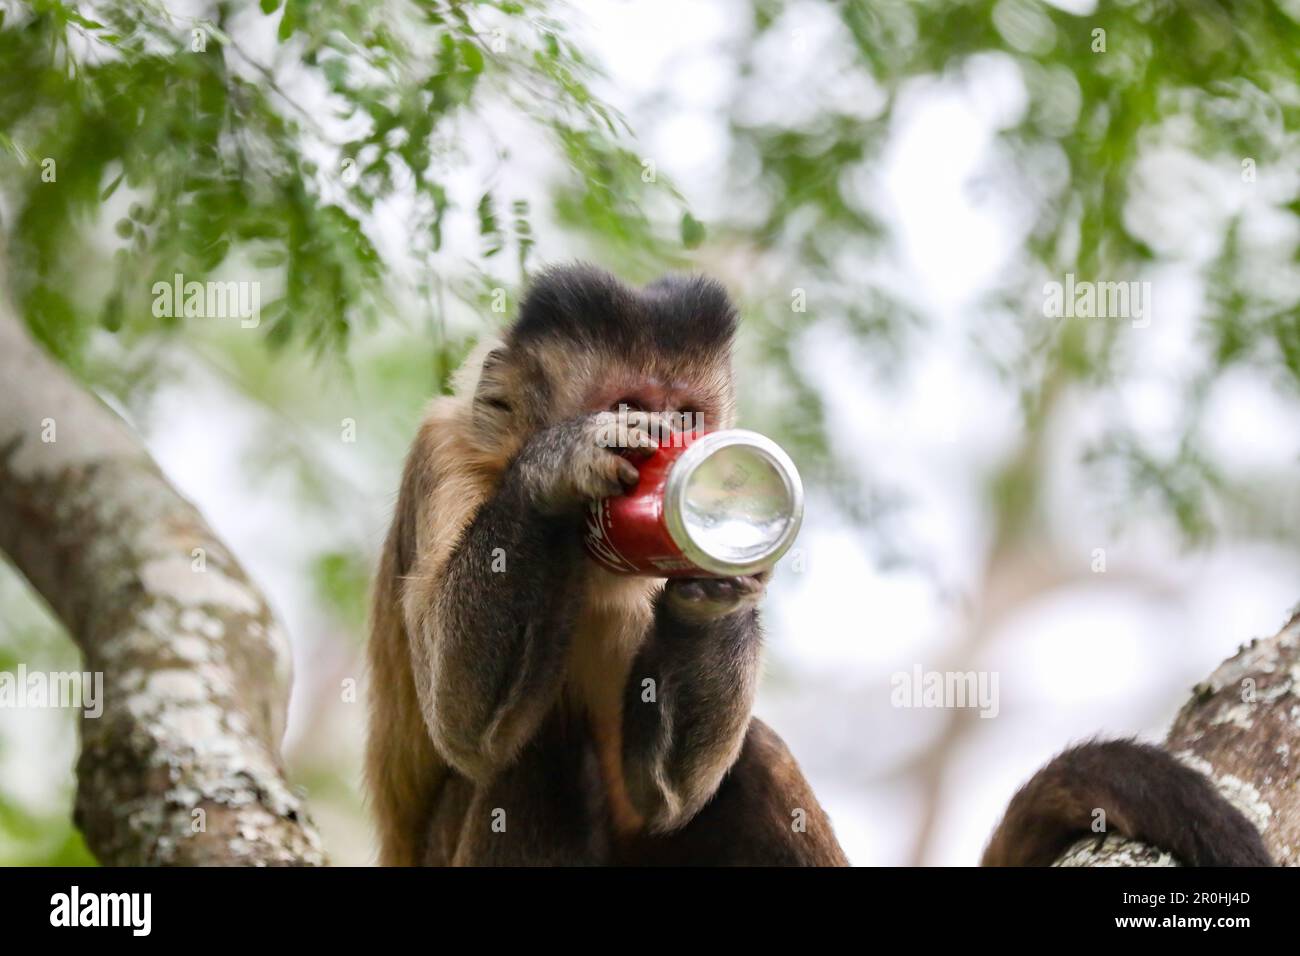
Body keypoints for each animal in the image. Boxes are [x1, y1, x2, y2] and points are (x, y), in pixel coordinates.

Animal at [365, 263, 847, 866]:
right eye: (628, 408)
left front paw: (716, 589)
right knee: (540, 743)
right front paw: (555, 470)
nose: (672, 438)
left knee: (758, 753)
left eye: (686, 416)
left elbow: (665, 797)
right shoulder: (444, 453)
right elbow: (463, 727)